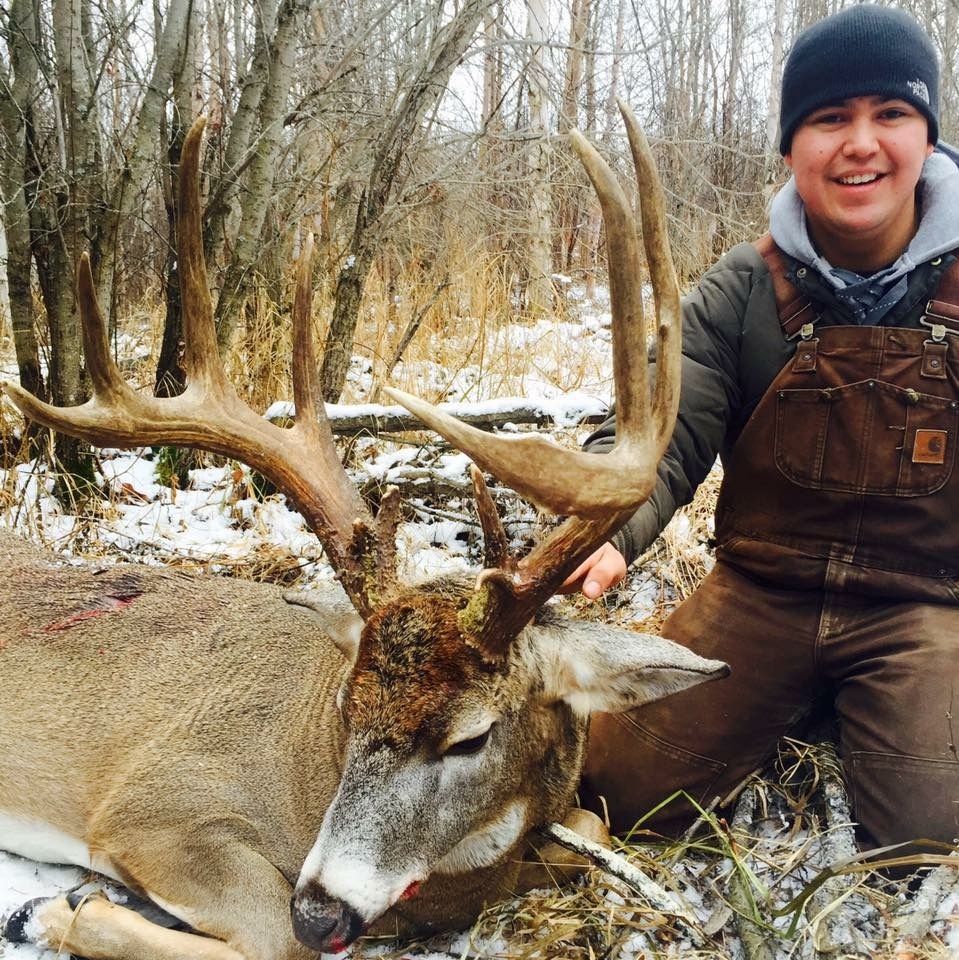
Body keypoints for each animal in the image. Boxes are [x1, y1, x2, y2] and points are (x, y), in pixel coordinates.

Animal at [0, 106, 728, 960]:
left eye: (470, 738)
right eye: (349, 709)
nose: (323, 910)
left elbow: (594, 824)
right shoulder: (154, 806)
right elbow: (271, 940)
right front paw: (49, 908)